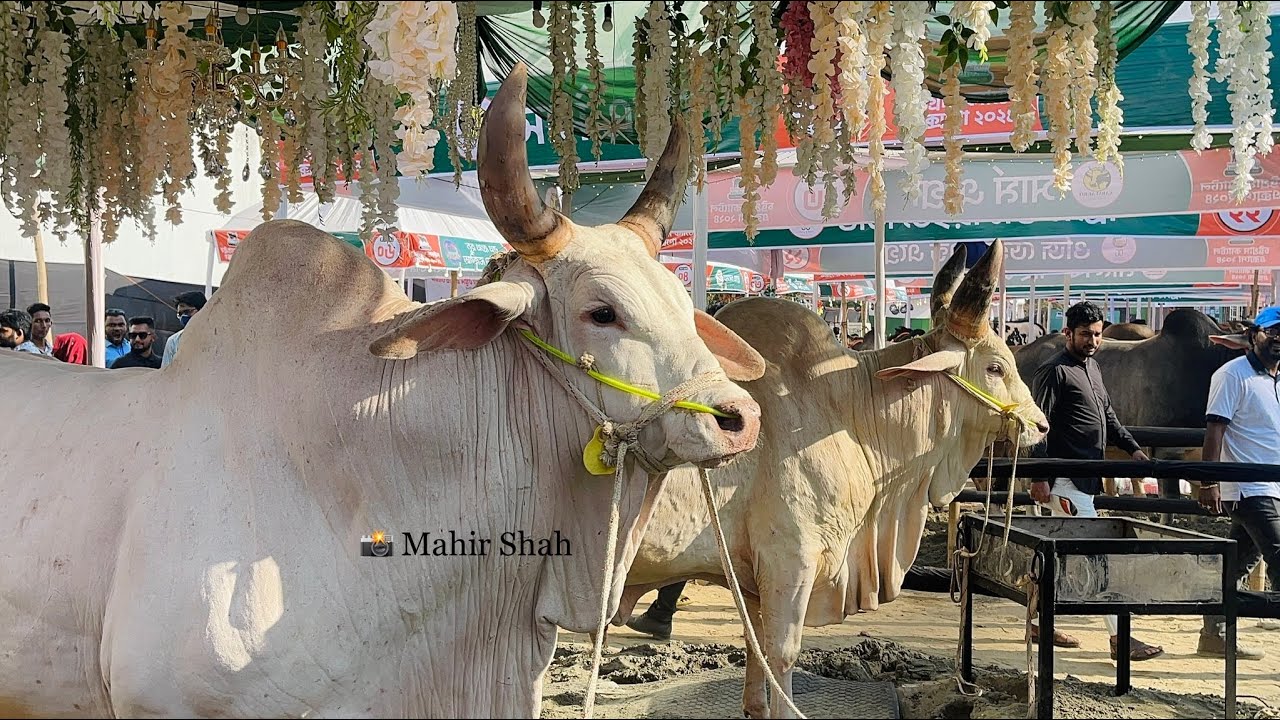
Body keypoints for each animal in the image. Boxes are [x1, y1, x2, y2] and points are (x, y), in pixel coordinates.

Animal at [615, 241, 1049, 718]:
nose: (1041, 425)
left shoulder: (752, 576)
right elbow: (782, 654)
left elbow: (754, 646)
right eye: (996, 367)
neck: (846, 411)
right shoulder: (791, 562)